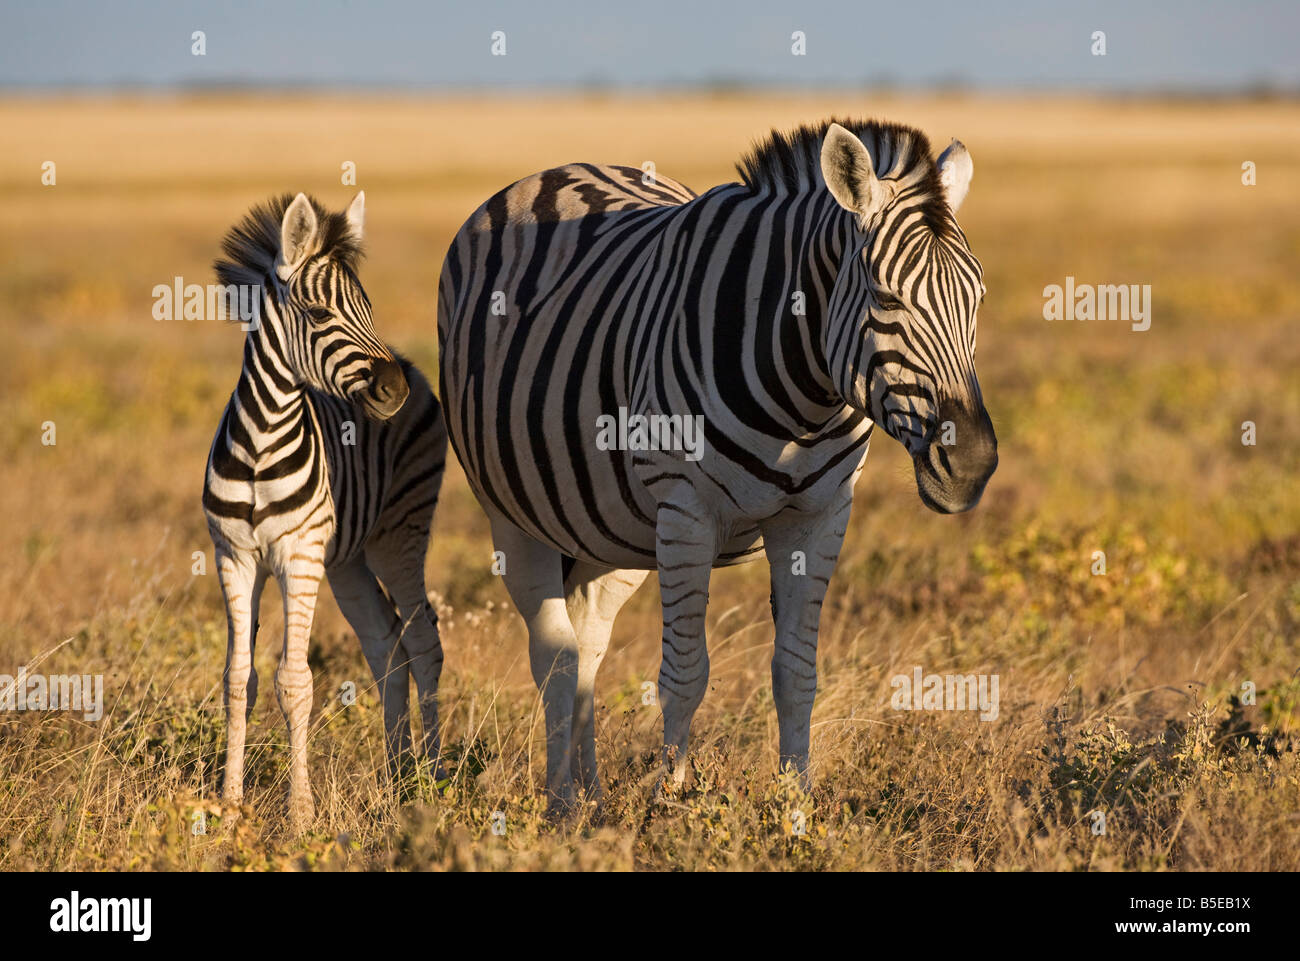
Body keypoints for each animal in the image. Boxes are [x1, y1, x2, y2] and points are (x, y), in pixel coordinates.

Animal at [204, 192, 447, 828]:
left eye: (368, 307)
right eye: (317, 315)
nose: (391, 391)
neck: (261, 442)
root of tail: (413, 365)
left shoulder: (299, 556)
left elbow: (296, 682)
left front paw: (300, 814)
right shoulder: (234, 556)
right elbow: (238, 679)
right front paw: (229, 806)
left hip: (399, 536)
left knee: (424, 642)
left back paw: (438, 779)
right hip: (348, 561)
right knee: (387, 647)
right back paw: (397, 779)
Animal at [437, 119, 997, 814]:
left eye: (978, 297)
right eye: (884, 297)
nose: (972, 463)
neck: (802, 400)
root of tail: (557, 171)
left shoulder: (820, 514)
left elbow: (796, 672)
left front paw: (794, 811)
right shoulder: (687, 510)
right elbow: (685, 673)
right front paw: (673, 806)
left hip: (614, 526)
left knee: (588, 639)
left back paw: (593, 799)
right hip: (516, 513)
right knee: (556, 655)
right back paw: (562, 803)